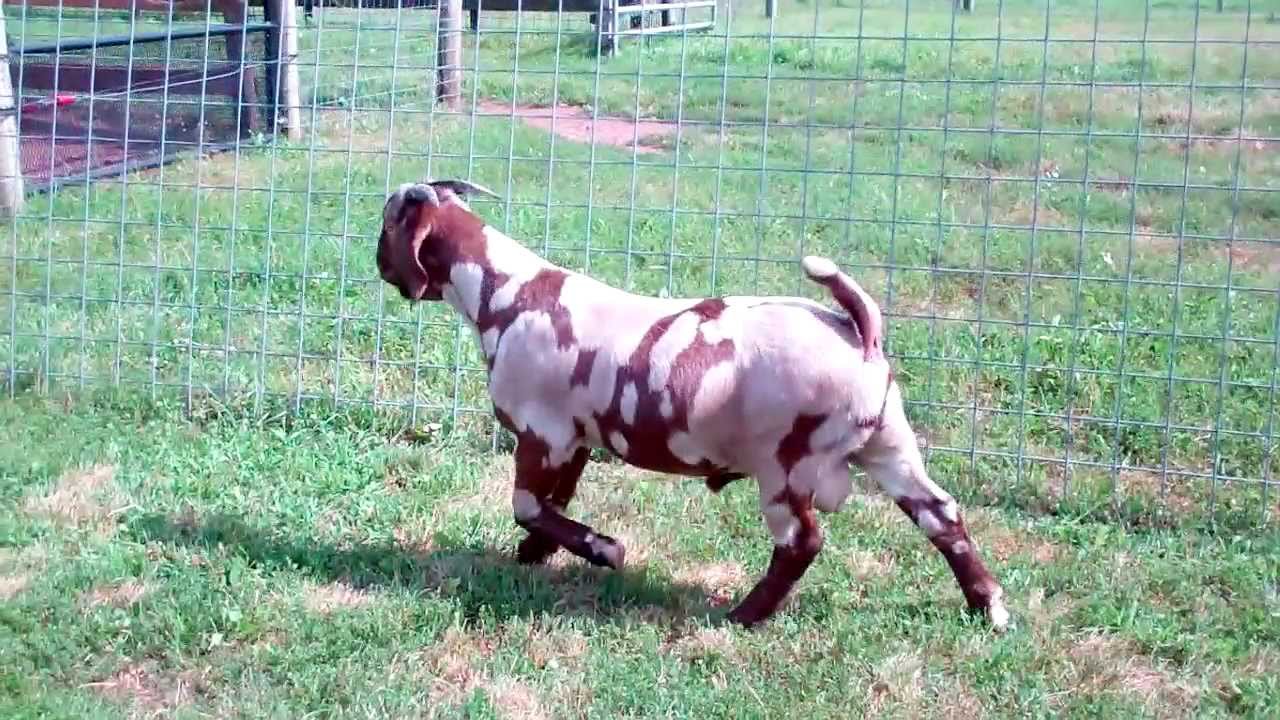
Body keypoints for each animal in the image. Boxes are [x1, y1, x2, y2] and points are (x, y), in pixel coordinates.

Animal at [375, 179, 1009, 630]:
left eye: (386, 224)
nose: (379, 264)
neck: (508, 291)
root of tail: (859, 332)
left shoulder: (542, 433)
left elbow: (527, 506)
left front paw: (605, 550)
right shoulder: (576, 438)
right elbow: (553, 504)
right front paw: (535, 557)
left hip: (786, 467)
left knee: (801, 543)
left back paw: (744, 617)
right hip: (890, 449)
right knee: (942, 515)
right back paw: (989, 608)